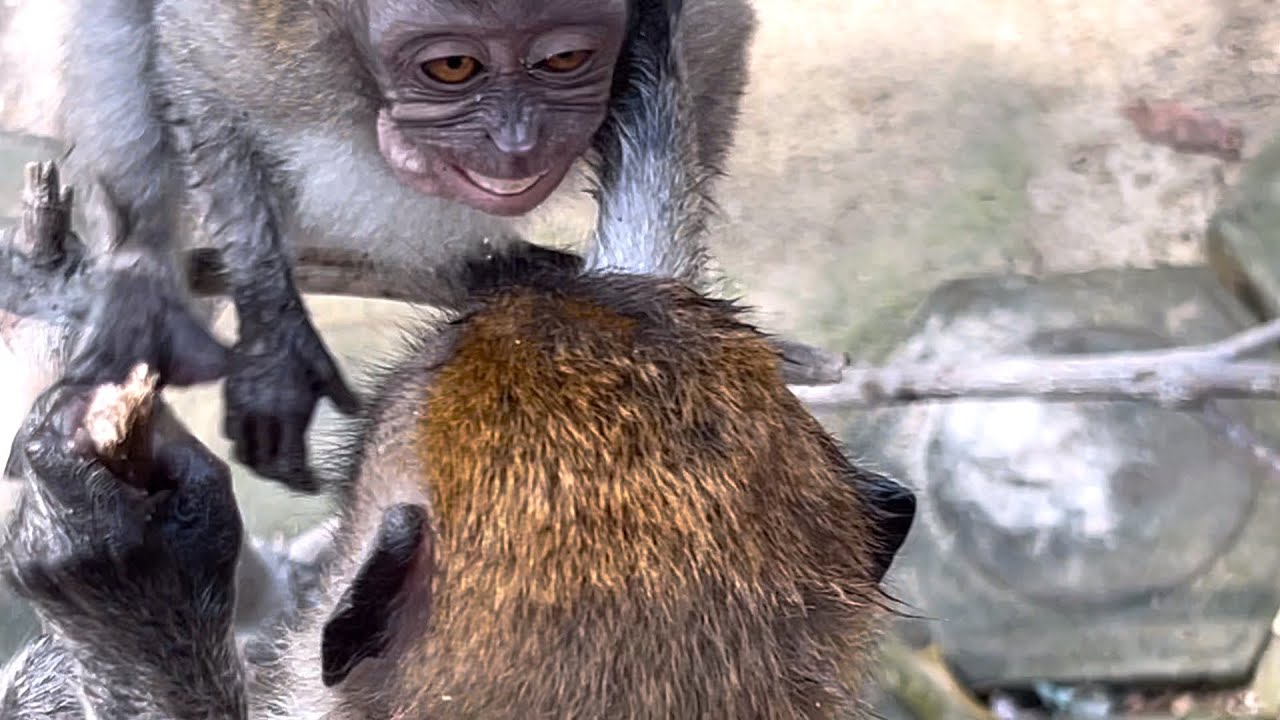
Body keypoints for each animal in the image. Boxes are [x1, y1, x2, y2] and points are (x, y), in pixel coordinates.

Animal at [57, 0, 759, 491]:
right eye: (453, 67)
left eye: (563, 60)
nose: (516, 140)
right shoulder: (263, 35)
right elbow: (194, 68)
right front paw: (274, 347)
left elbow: (710, 48)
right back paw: (140, 267)